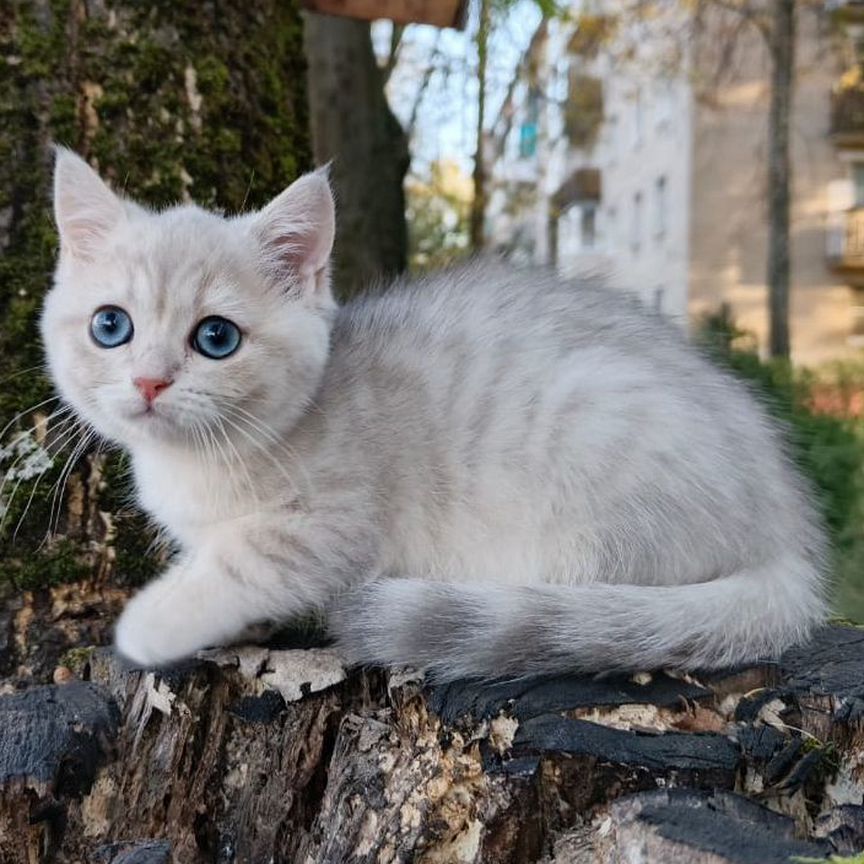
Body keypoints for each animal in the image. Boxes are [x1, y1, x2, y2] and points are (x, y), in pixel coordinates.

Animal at [42, 152, 832, 684]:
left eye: (216, 338)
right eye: (111, 326)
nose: (149, 381)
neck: (199, 465)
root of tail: (788, 536)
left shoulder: (333, 524)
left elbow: (244, 563)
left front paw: (150, 624)